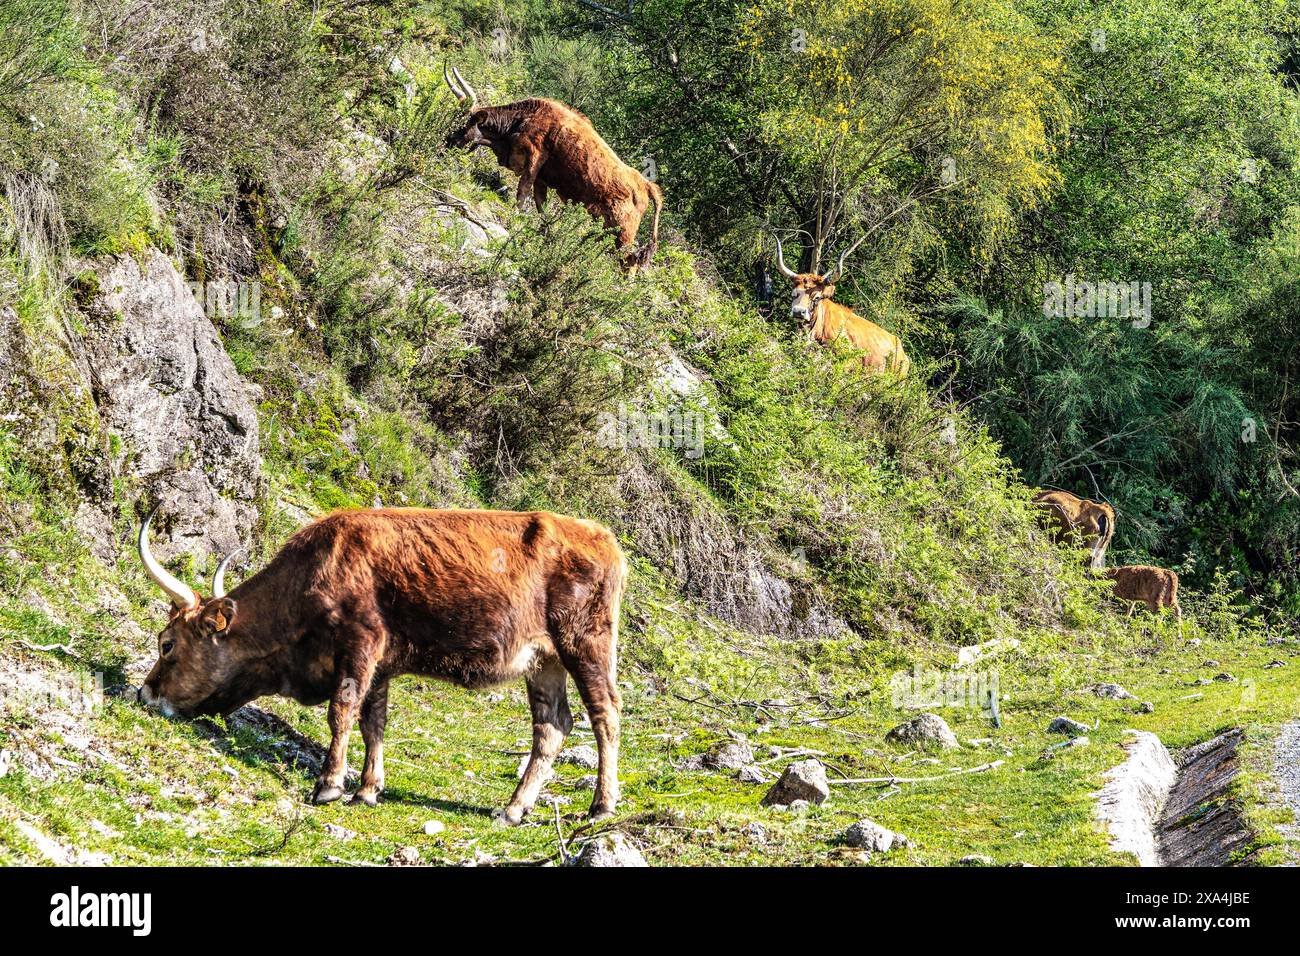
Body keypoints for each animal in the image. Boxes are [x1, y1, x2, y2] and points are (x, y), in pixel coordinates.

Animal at [135, 506, 627, 824]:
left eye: (167, 644)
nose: (145, 692)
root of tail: (600, 535)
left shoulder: (360, 642)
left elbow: (342, 711)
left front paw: (329, 784)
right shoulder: (382, 665)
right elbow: (374, 722)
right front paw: (367, 789)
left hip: (586, 644)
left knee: (605, 715)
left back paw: (601, 805)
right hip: (544, 661)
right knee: (552, 725)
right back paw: (513, 808)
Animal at [443, 64, 663, 272]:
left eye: (464, 122)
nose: (447, 141)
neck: (522, 119)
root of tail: (645, 183)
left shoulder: (533, 160)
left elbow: (522, 194)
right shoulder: (542, 179)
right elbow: (542, 210)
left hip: (623, 232)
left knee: (630, 261)